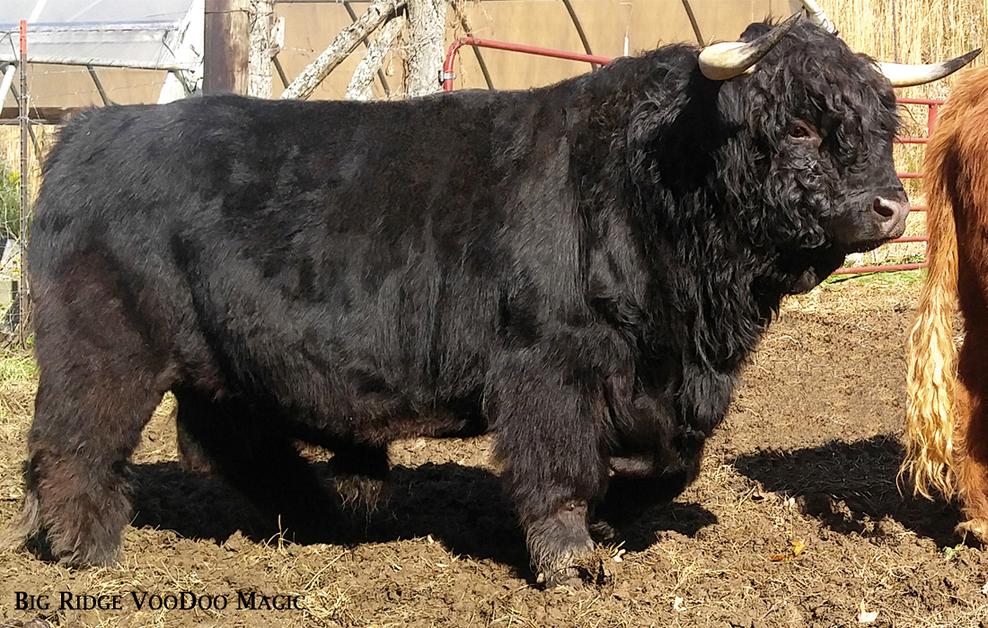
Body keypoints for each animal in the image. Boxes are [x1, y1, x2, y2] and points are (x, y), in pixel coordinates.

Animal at [4, 14, 976, 587]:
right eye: (800, 125)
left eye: (881, 124)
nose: (890, 206)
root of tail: (89, 132)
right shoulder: (547, 366)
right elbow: (556, 465)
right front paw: (572, 559)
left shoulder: (658, 386)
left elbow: (673, 462)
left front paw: (619, 513)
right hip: (105, 347)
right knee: (74, 443)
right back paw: (88, 551)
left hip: (221, 359)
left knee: (226, 442)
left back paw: (327, 511)